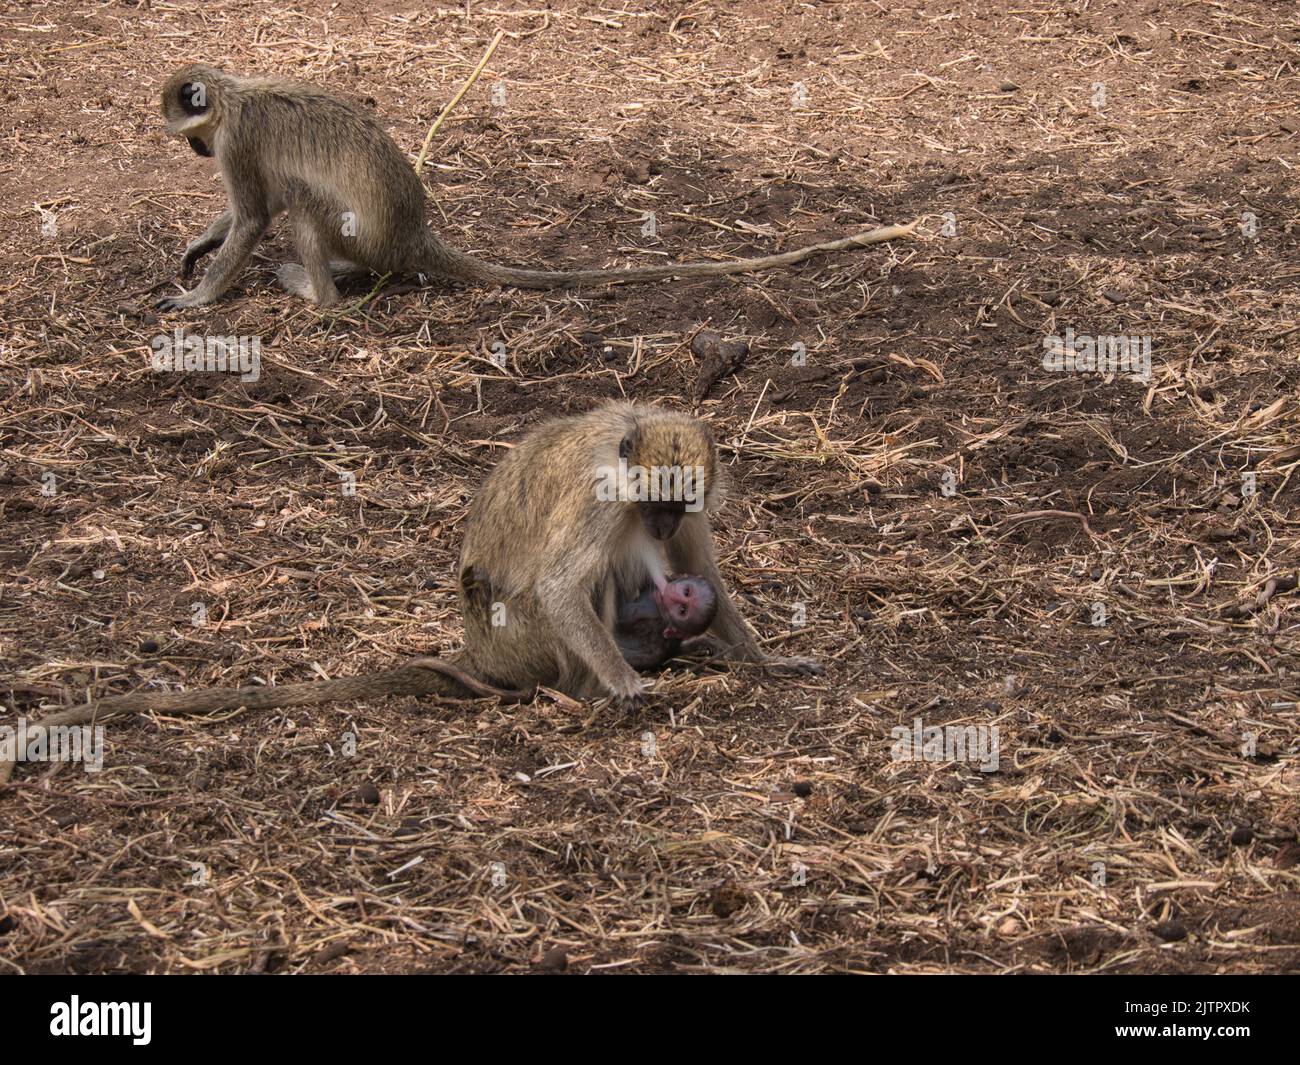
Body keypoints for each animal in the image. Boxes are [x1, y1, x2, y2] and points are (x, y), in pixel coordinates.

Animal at [0, 403, 818, 783]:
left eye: (676, 505)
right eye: (653, 501)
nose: (659, 521)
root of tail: (480, 652)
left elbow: (706, 575)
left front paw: (765, 658)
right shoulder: (601, 502)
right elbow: (560, 585)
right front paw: (622, 683)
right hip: (522, 638)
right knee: (580, 592)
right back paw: (589, 686)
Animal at [154, 64, 918, 310]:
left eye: (191, 136)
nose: (192, 147)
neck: (231, 94)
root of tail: (416, 233)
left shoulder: (236, 140)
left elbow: (255, 215)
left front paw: (198, 297)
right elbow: (240, 215)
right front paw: (198, 248)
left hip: (362, 232)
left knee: (307, 210)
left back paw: (322, 297)